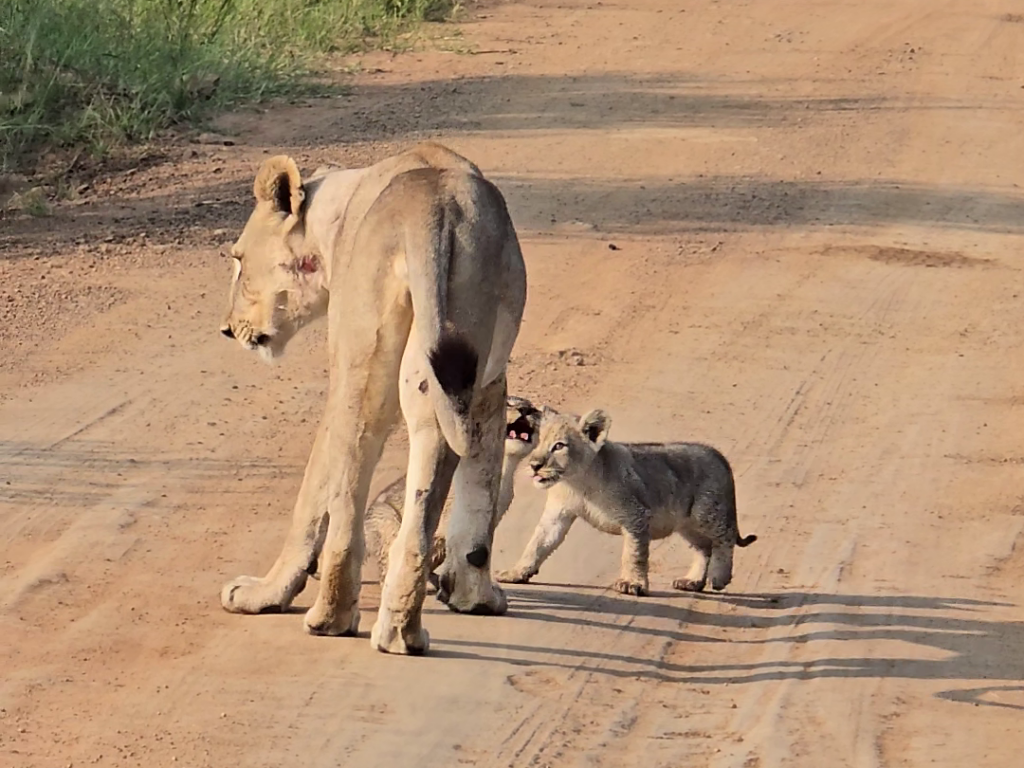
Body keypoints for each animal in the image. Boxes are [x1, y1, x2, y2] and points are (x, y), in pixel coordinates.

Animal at [218, 141, 527, 655]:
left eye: (239, 260)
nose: (226, 329)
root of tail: (436, 208)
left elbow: (312, 494)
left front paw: (264, 592)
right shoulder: (491, 383)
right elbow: (480, 487)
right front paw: (476, 597)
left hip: (365, 360)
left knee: (347, 495)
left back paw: (332, 617)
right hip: (452, 356)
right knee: (429, 482)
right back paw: (403, 629)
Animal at [496, 406, 757, 596]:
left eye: (559, 446)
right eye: (538, 443)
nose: (534, 465)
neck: (578, 482)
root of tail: (719, 455)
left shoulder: (636, 514)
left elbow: (633, 552)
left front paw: (632, 583)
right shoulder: (558, 513)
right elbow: (537, 543)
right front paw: (516, 573)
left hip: (707, 513)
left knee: (724, 539)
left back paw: (719, 577)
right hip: (686, 525)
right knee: (704, 547)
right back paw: (692, 581)